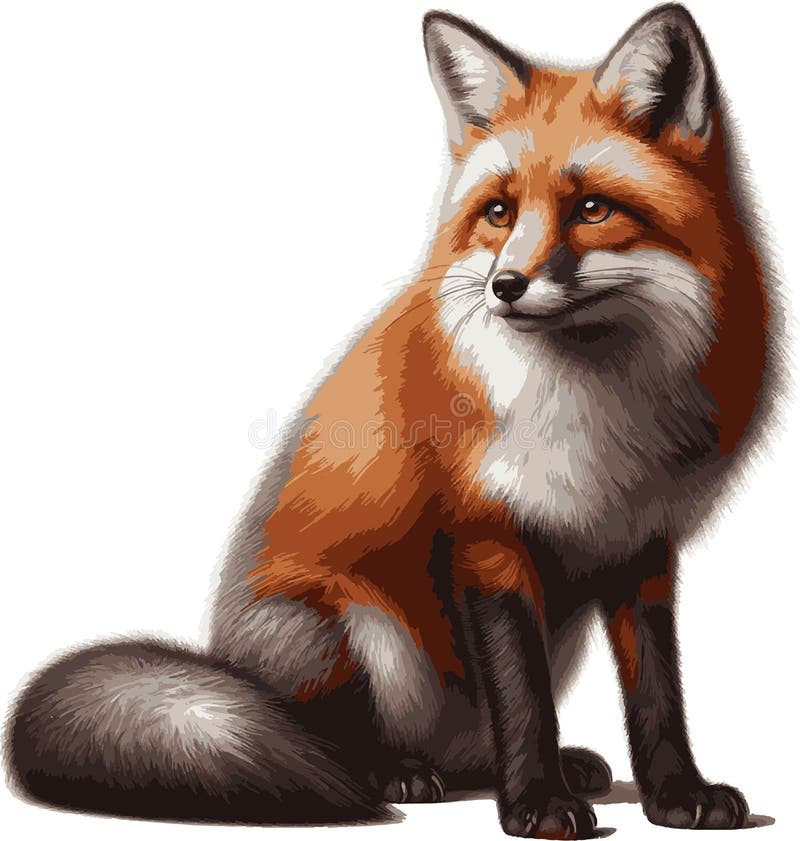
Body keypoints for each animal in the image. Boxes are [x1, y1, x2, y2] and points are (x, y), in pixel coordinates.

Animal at [6, 5, 775, 839]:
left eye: (592, 209)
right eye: (499, 212)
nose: (506, 285)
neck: (599, 420)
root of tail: (225, 663)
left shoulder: (643, 545)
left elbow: (657, 691)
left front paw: (677, 793)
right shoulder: (487, 536)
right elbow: (523, 694)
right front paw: (536, 804)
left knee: (474, 745)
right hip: (356, 627)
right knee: (335, 743)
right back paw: (397, 773)